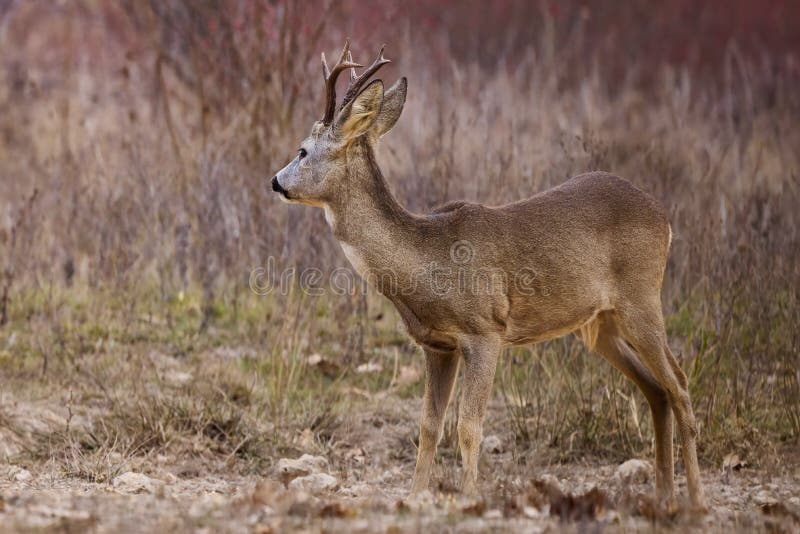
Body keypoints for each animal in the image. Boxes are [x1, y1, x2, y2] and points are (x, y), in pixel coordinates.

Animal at [270, 40, 707, 512]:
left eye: (302, 150)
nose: (275, 181)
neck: (425, 263)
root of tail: (663, 217)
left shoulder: (485, 330)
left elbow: (468, 426)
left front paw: (468, 497)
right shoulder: (437, 345)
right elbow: (428, 426)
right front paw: (415, 496)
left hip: (642, 297)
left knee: (680, 386)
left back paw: (697, 500)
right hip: (599, 323)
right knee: (657, 390)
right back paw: (664, 496)